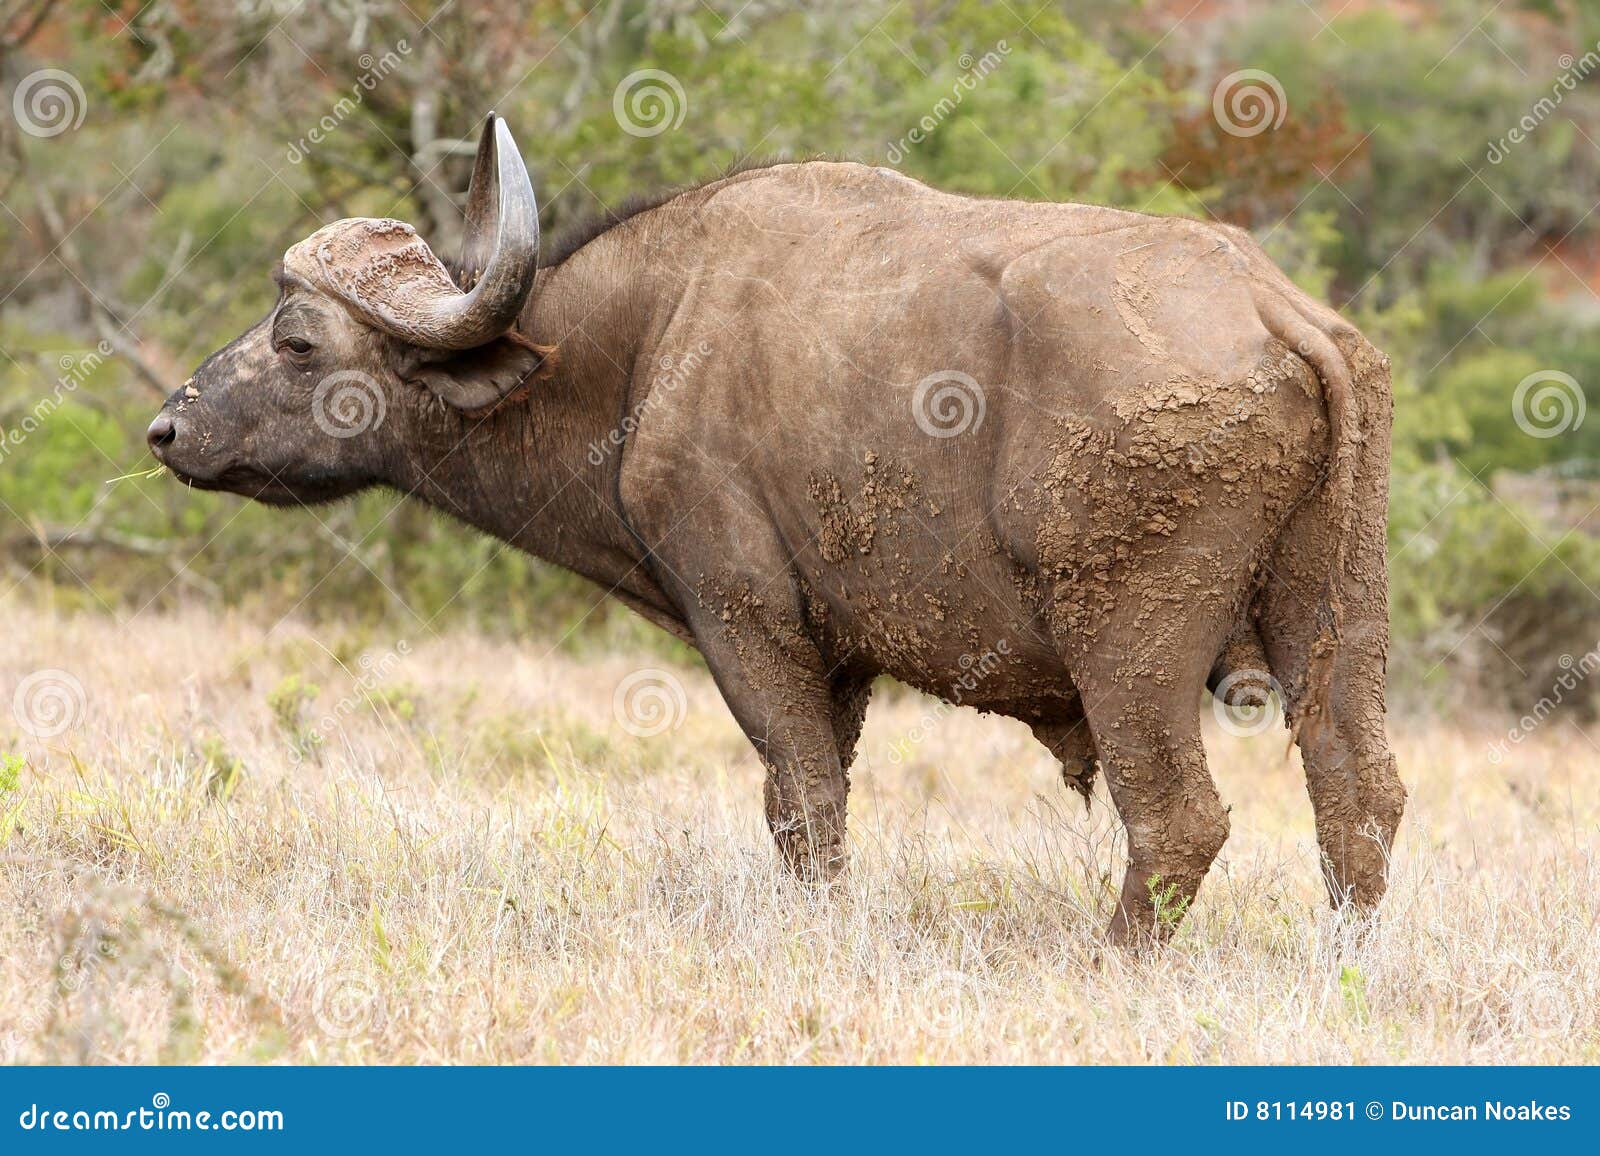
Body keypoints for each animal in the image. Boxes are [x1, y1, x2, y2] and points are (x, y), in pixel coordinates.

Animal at [147, 115, 1405, 944]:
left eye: (298, 339)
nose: (168, 427)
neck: (649, 342)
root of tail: (1270, 306)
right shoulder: (840, 662)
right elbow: (818, 808)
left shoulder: (748, 623)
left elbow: (799, 807)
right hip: (1337, 622)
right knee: (1360, 799)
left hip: (1127, 645)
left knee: (1177, 817)